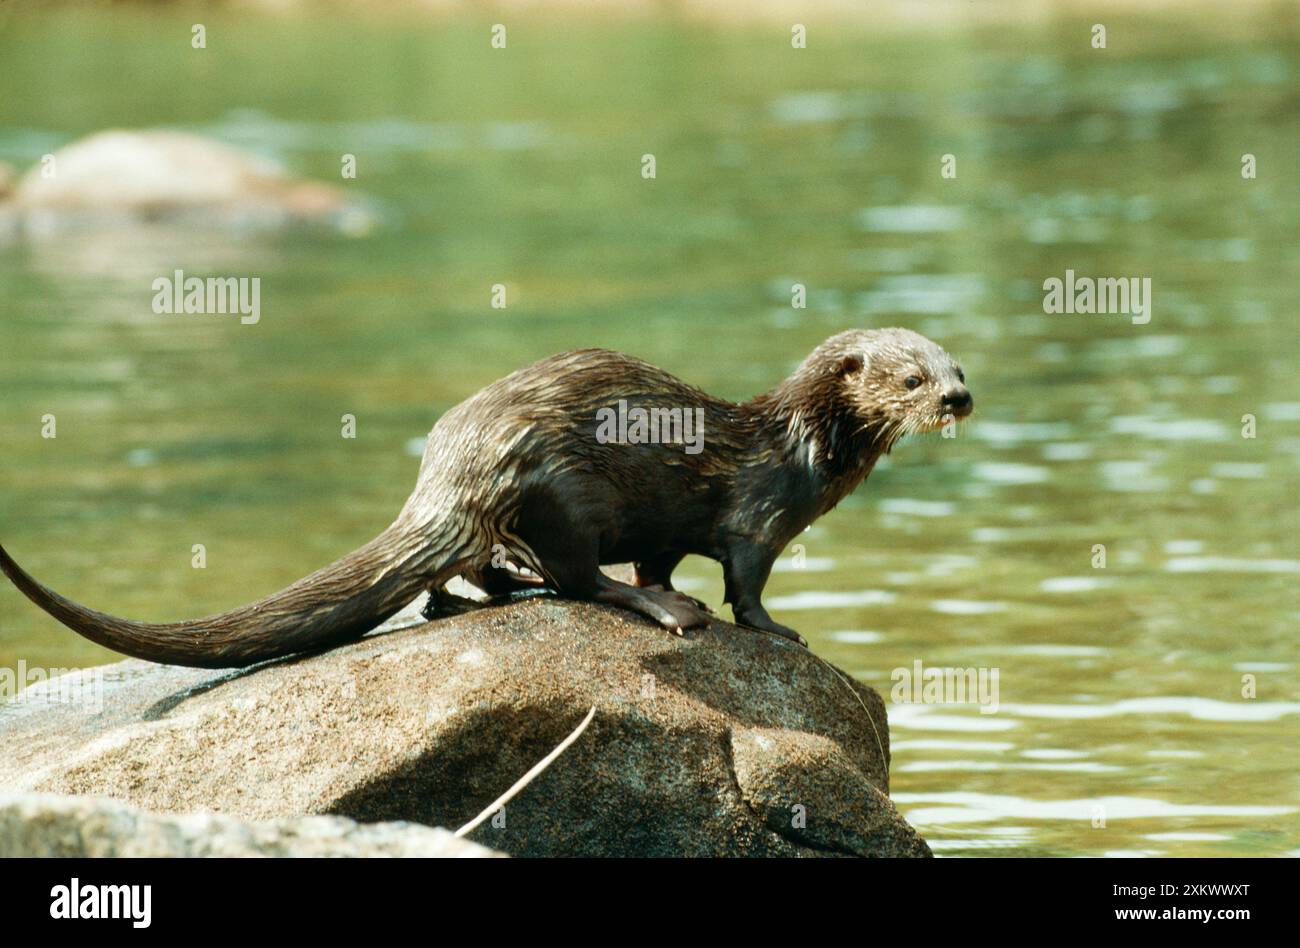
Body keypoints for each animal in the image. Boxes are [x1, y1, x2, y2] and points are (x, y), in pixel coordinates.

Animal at [0, 328, 972, 668]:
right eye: (914, 376)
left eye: (959, 364)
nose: (960, 399)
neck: (807, 446)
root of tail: (456, 468)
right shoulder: (761, 515)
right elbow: (745, 582)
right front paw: (773, 629)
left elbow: (665, 553)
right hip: (570, 494)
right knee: (580, 578)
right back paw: (660, 613)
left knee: (458, 580)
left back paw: (491, 589)